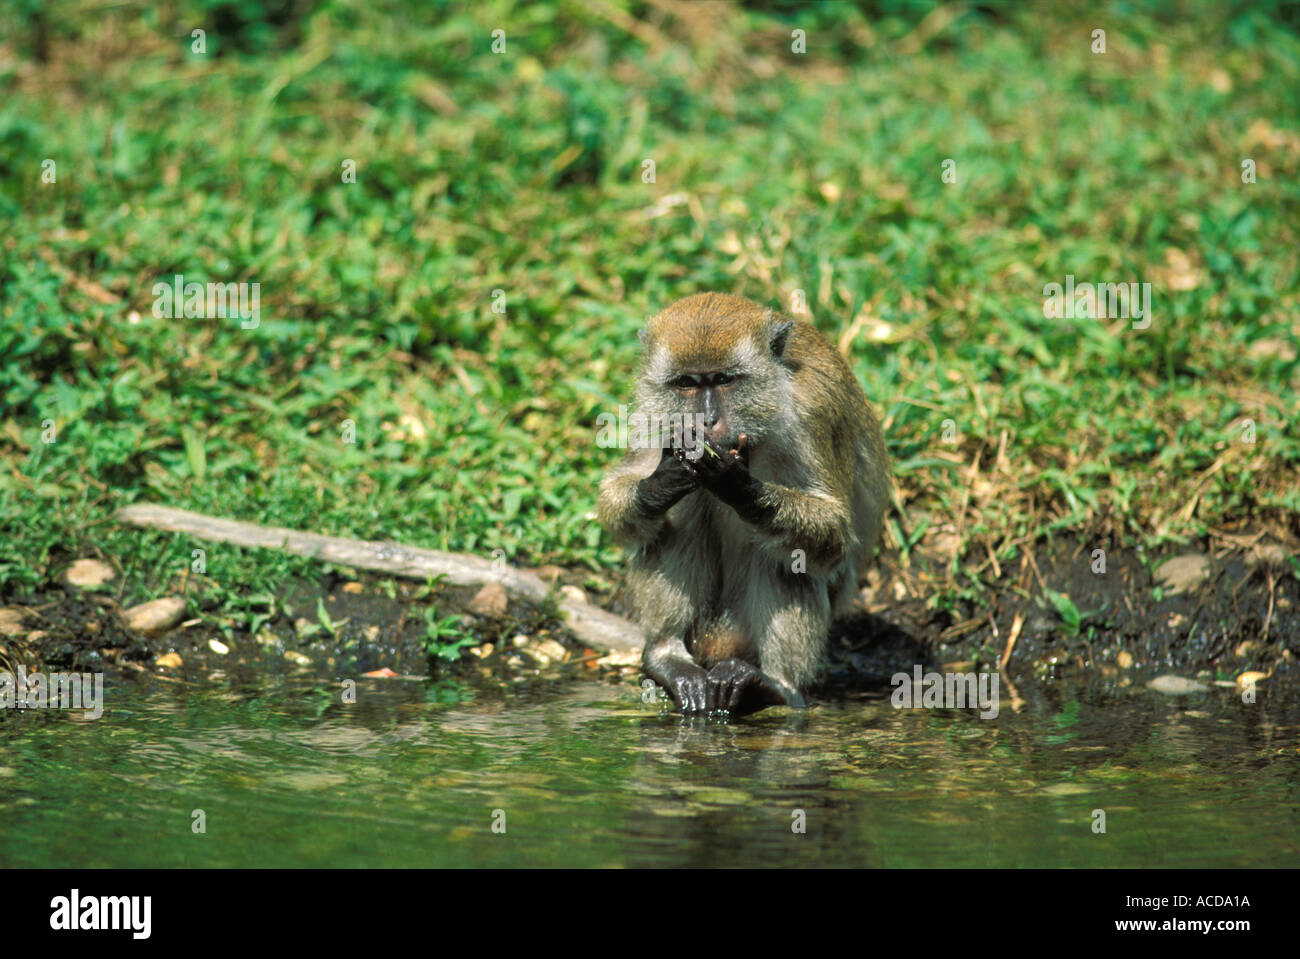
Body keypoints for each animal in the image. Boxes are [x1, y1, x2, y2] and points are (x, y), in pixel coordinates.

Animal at [597, 292, 890, 715]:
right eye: (686, 383)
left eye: (724, 379)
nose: (706, 420)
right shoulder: (652, 412)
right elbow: (619, 493)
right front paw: (660, 483)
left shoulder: (814, 409)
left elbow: (833, 535)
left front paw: (738, 486)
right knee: (676, 522)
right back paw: (666, 655)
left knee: (790, 558)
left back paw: (777, 684)